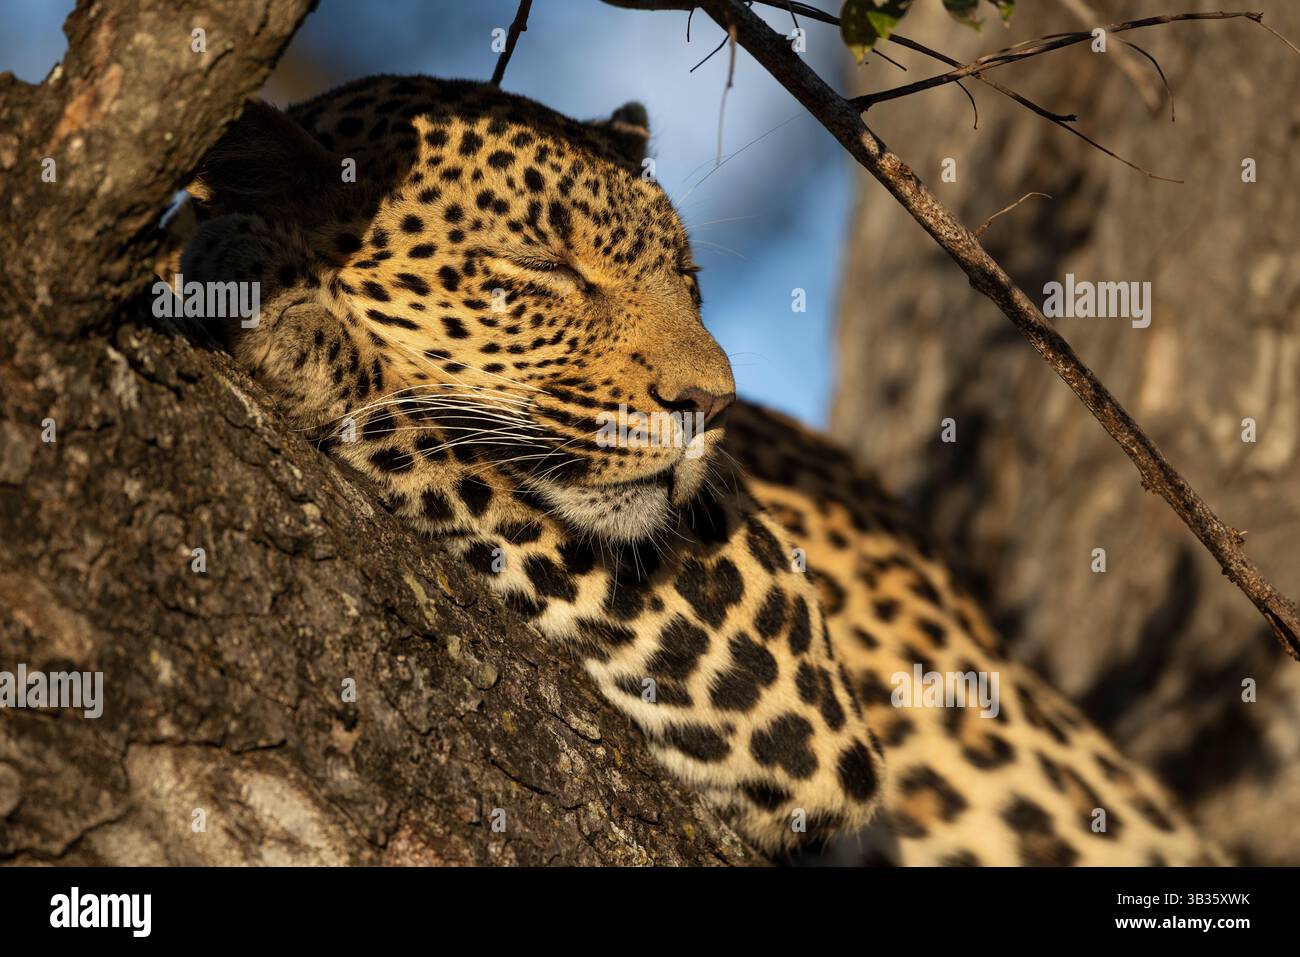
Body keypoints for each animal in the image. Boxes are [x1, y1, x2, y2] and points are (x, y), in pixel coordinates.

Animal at [174, 73, 1221, 864]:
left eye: (688, 278)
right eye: (541, 267)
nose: (709, 406)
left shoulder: (793, 662)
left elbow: (460, 437)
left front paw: (277, 306)